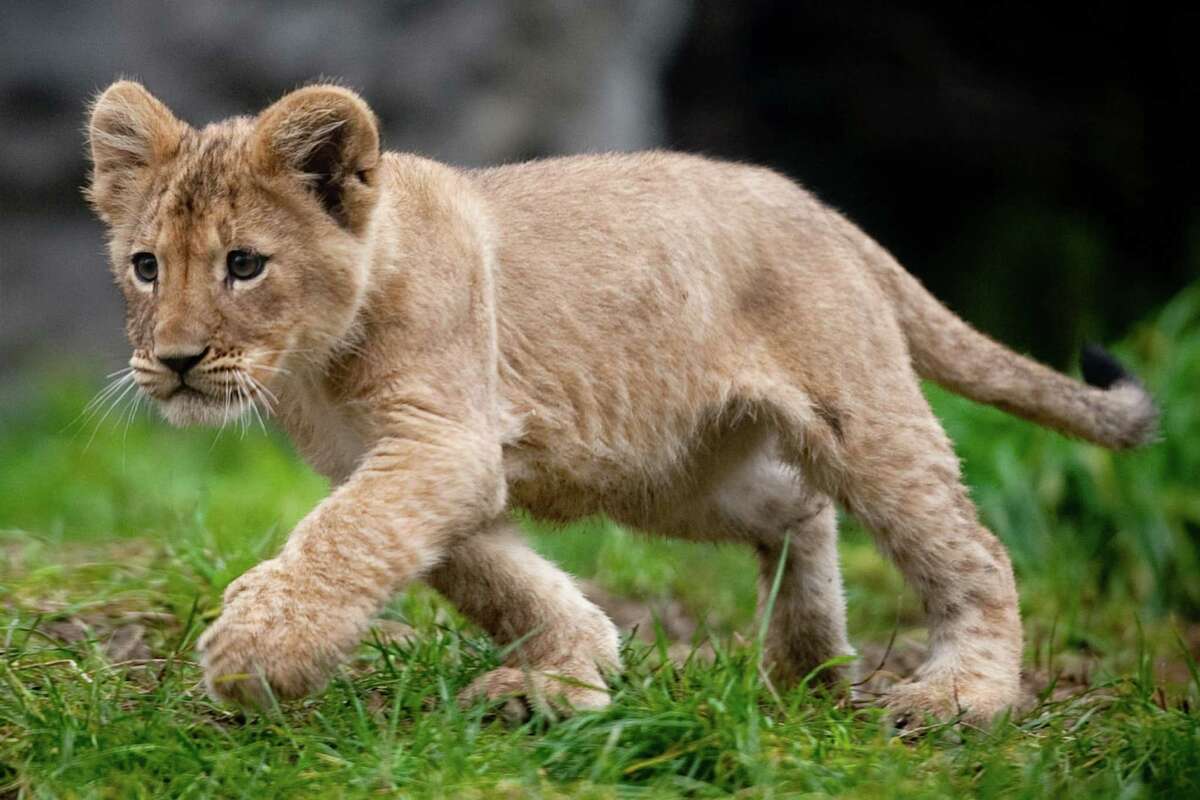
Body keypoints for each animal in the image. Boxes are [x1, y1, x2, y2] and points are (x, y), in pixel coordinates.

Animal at [84, 80, 1156, 724]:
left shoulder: (441, 444)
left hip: (859, 419)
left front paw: (254, 652)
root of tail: (830, 216)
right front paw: (568, 673)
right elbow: (498, 580)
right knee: (796, 507)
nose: (174, 362)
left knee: (969, 550)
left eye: (244, 265)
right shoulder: (409, 464)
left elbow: (346, 541)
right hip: (672, 473)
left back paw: (960, 698)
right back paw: (803, 671)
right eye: (145, 266)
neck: (312, 361)